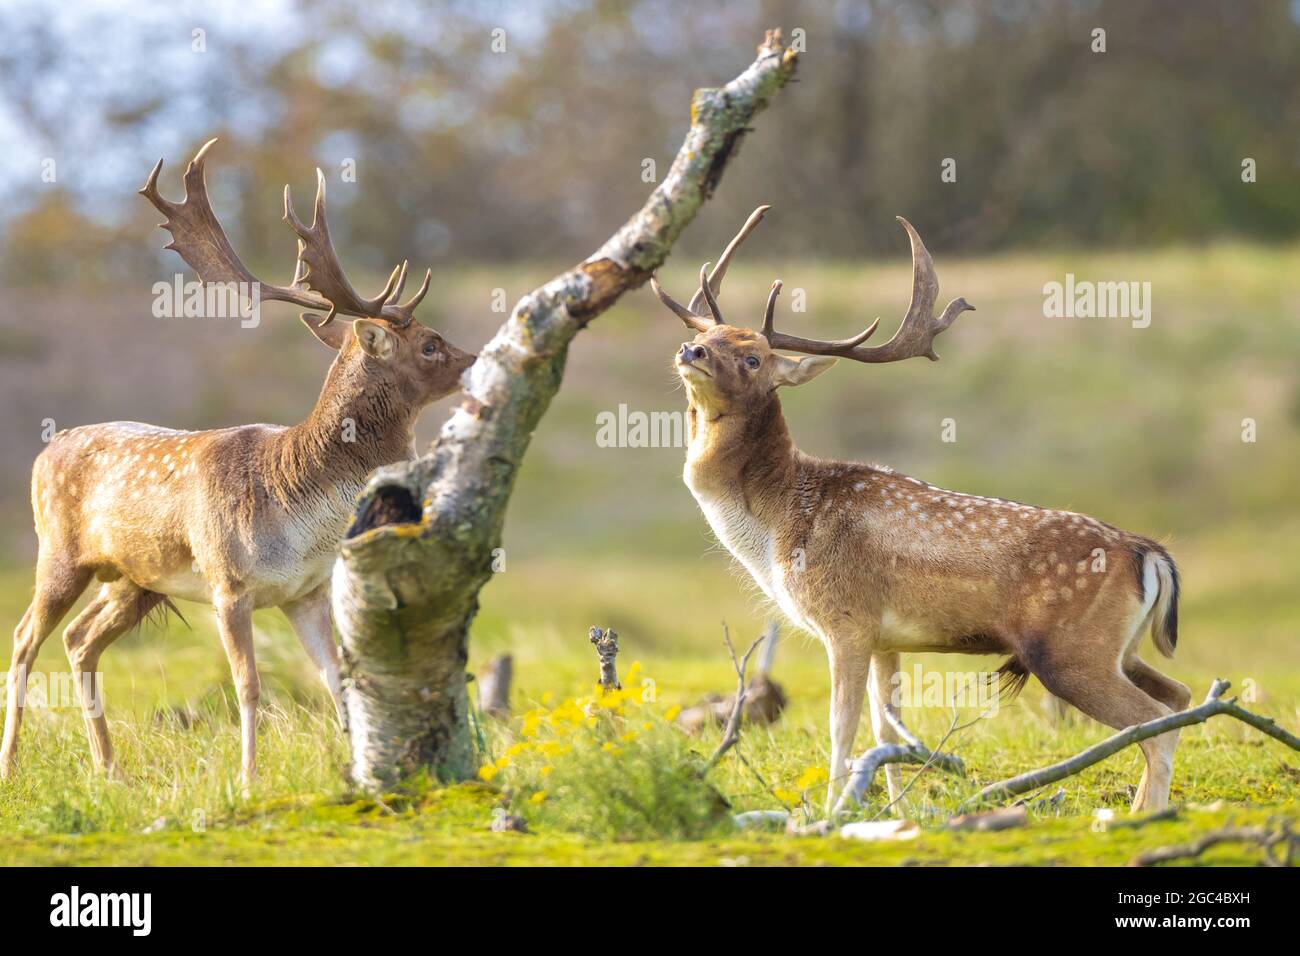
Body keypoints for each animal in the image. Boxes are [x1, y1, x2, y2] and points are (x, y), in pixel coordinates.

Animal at [0, 140, 476, 784]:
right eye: (429, 343)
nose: (473, 358)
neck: (301, 515)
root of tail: (46, 450)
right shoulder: (229, 582)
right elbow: (248, 685)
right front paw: (248, 778)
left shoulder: (308, 590)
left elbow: (336, 679)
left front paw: (353, 767)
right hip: (60, 553)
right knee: (25, 638)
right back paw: (12, 766)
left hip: (133, 578)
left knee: (80, 639)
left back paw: (110, 769)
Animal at [651, 207, 1188, 816]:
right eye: (705, 334)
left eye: (752, 356)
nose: (691, 352)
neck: (778, 527)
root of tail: (1148, 552)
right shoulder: (888, 639)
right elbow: (889, 730)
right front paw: (894, 813)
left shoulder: (847, 619)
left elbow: (843, 727)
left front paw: (834, 813)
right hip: (1120, 647)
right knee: (1179, 697)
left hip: (1071, 652)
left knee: (1156, 721)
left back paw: (1148, 813)